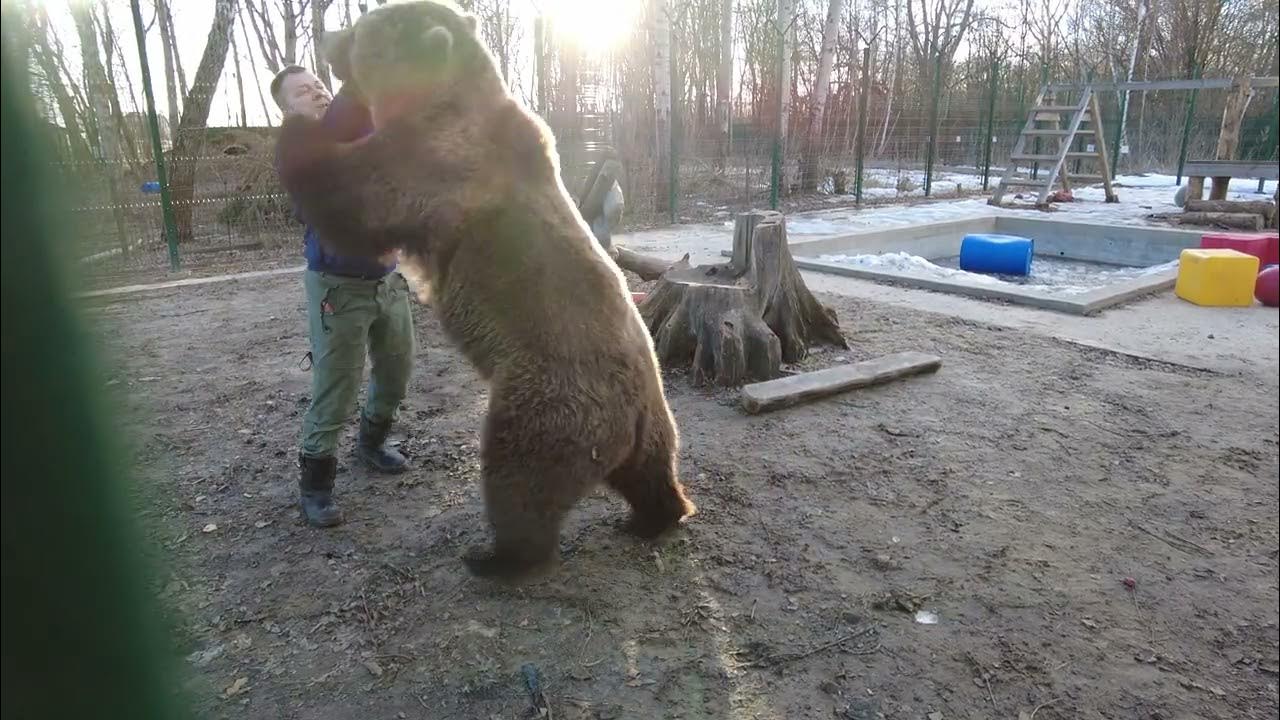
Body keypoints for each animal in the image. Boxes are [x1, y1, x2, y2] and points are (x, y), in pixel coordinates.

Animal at [275, 0, 696, 582]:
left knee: (518, 477)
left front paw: (296, 131)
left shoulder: (432, 164)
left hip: (547, 399)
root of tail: (631, 412)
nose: (328, 38)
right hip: (654, 422)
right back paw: (649, 519)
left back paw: (494, 556)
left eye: (362, 29)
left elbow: (354, 192)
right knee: (652, 474)